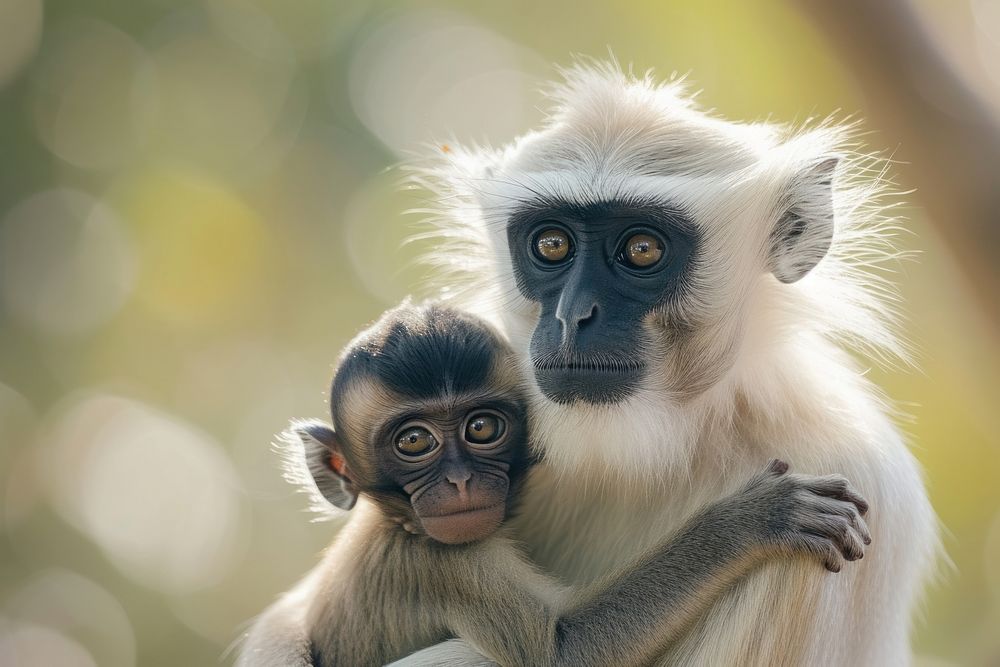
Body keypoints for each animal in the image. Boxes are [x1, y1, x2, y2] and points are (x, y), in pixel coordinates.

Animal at [238, 302, 872, 667]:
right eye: (414, 441)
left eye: (482, 428)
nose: (461, 480)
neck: (399, 524)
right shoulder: (447, 565)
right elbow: (562, 651)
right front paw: (754, 521)